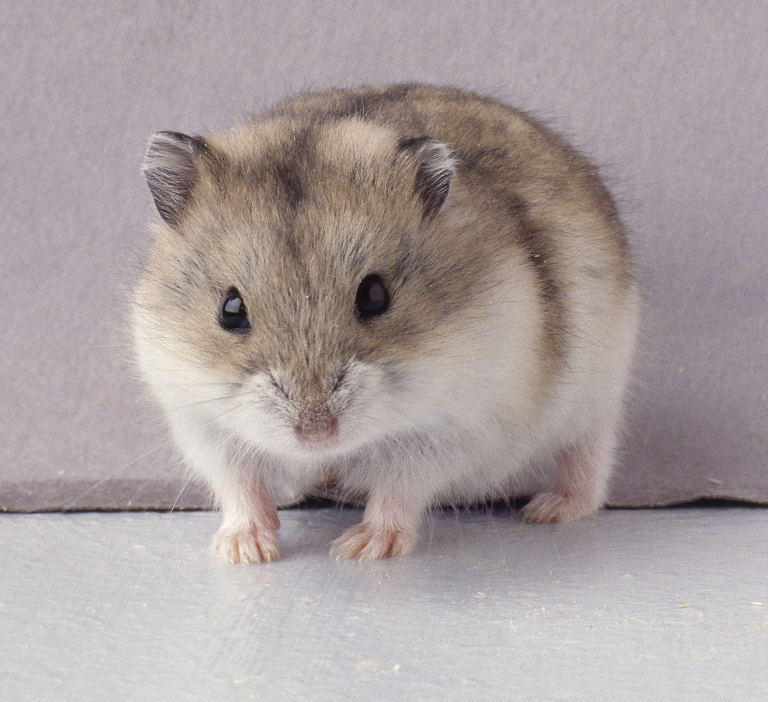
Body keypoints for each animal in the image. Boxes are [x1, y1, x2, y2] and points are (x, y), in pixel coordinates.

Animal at [133, 84, 639, 563]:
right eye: (231, 310)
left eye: (375, 296)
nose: (316, 433)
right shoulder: (201, 424)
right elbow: (241, 487)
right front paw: (245, 552)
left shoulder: (447, 429)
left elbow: (398, 489)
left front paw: (362, 548)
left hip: (599, 397)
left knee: (589, 457)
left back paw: (550, 510)